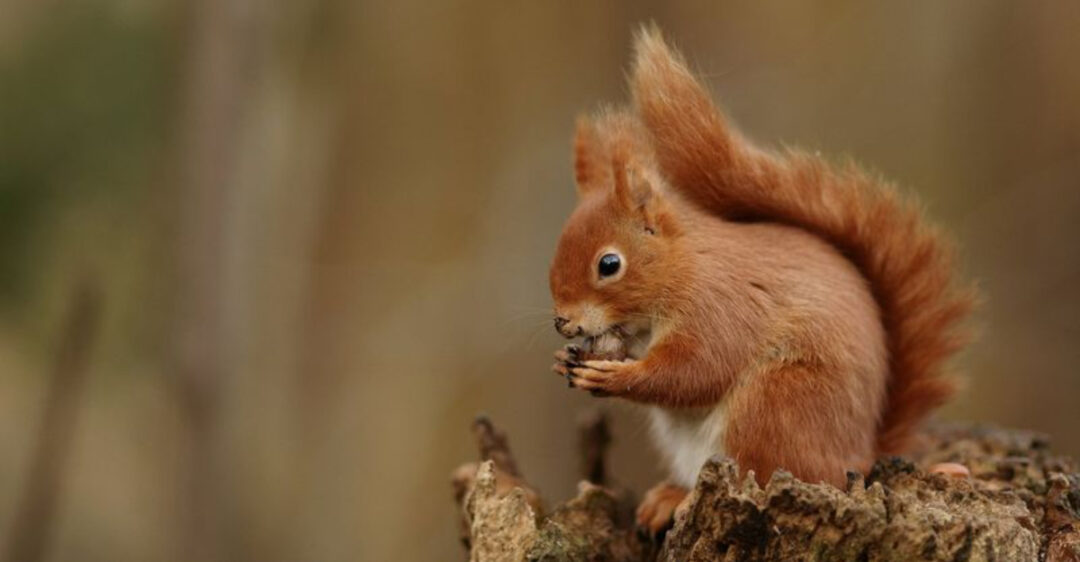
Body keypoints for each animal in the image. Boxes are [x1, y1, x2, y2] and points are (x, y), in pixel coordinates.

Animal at [549, 27, 977, 536]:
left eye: (609, 264)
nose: (562, 322)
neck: (683, 266)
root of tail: (861, 456)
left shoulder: (719, 308)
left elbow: (695, 370)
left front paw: (615, 376)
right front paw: (567, 359)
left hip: (773, 406)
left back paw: (682, 498)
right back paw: (669, 496)